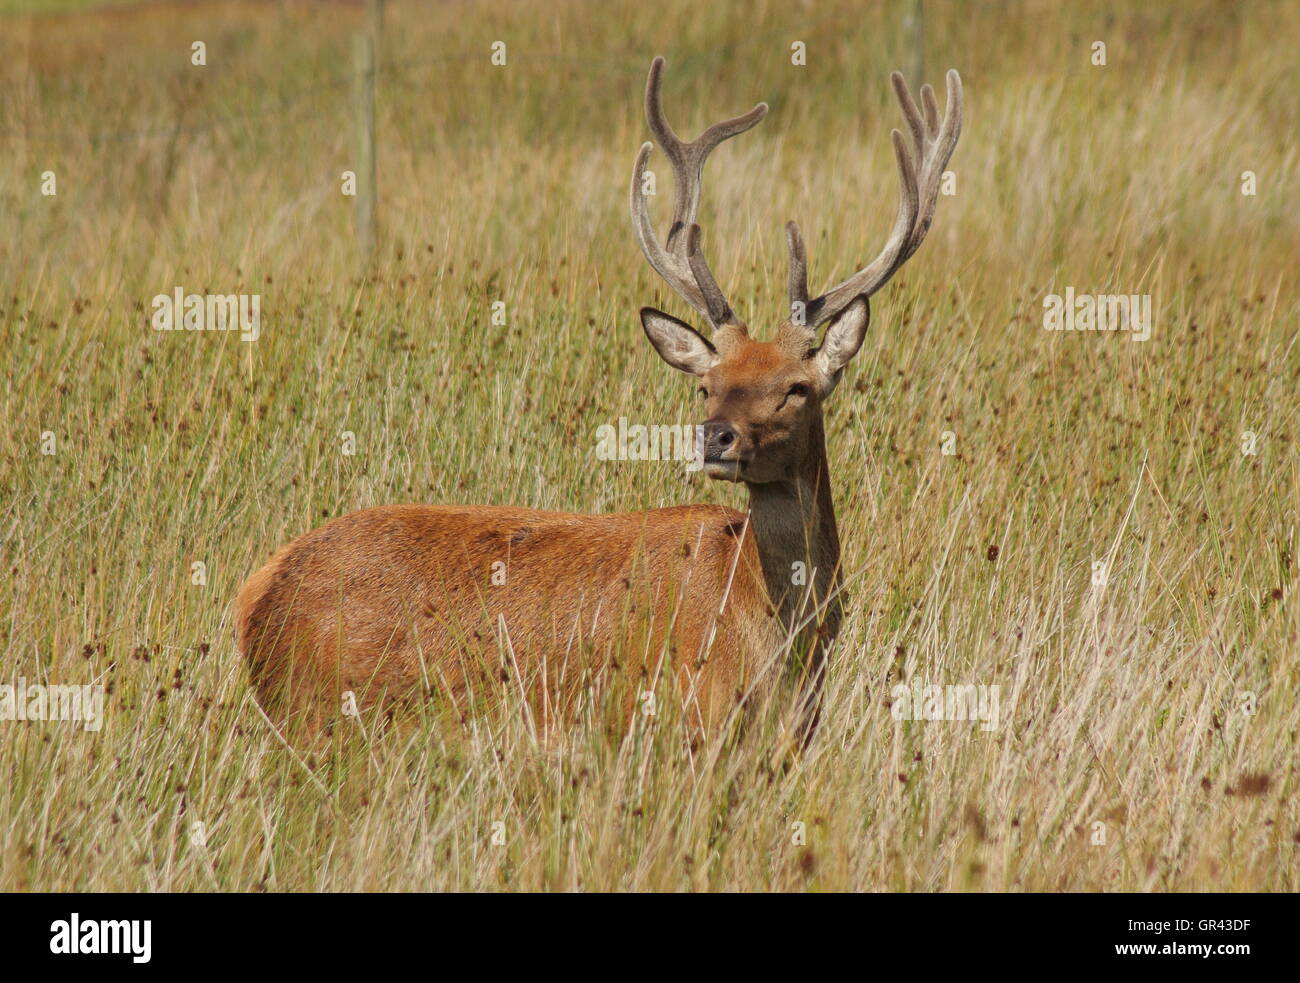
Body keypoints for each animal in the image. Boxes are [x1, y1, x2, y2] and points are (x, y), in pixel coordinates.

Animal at [234, 56, 962, 746]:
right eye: (707, 383)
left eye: (797, 387)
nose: (716, 436)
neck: (776, 641)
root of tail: (254, 595)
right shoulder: (682, 725)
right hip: (326, 714)